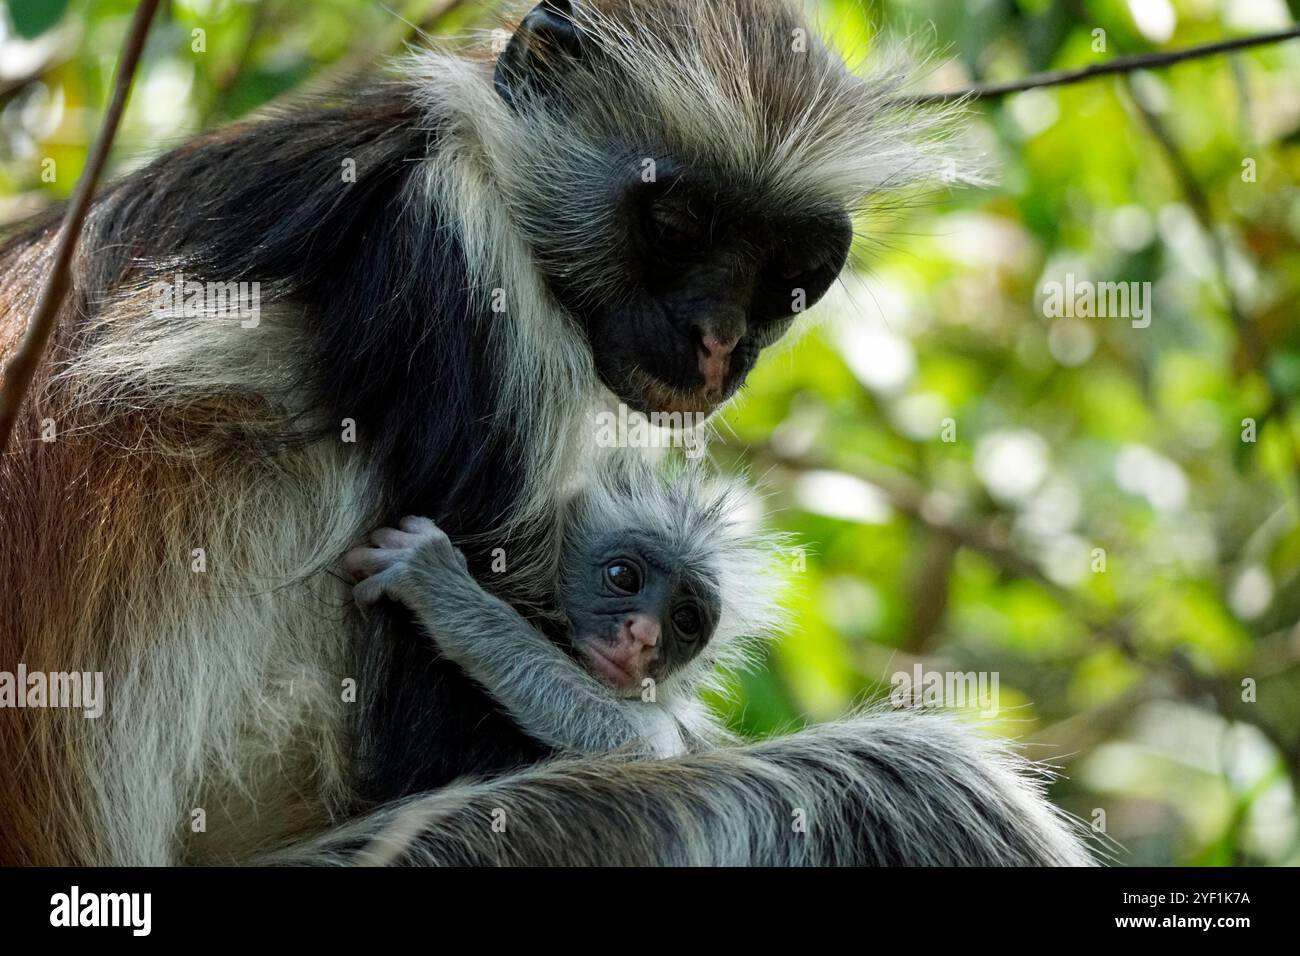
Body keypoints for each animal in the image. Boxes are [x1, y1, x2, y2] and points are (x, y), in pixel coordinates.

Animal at [0, 0, 1094, 865]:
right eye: (675, 225)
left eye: (791, 268)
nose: (717, 340)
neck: (449, 145)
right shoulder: (455, 254)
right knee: (919, 784)